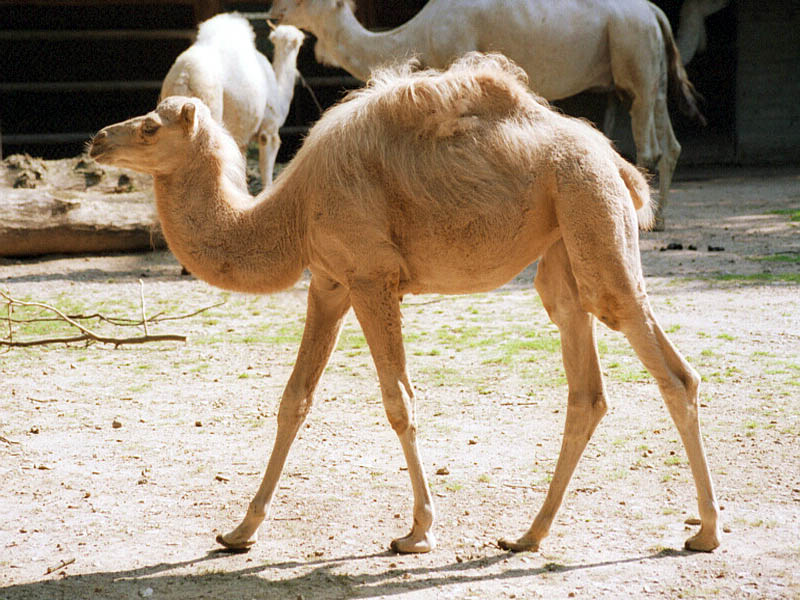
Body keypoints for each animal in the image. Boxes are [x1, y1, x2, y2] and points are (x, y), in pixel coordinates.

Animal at [89, 53, 720, 555]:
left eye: (150, 128)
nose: (96, 140)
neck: (291, 210)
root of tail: (617, 162)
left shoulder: (372, 277)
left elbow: (398, 401)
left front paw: (417, 532)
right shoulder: (330, 283)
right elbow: (295, 399)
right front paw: (240, 531)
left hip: (590, 210)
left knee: (671, 370)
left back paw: (706, 532)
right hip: (563, 246)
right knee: (586, 384)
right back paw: (528, 535)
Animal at [269, 0, 706, 230]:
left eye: (305, 1)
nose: (273, 10)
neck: (421, 32)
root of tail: (654, 13)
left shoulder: (459, 63)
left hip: (631, 50)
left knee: (649, 143)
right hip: (649, 62)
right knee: (670, 140)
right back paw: (660, 219)